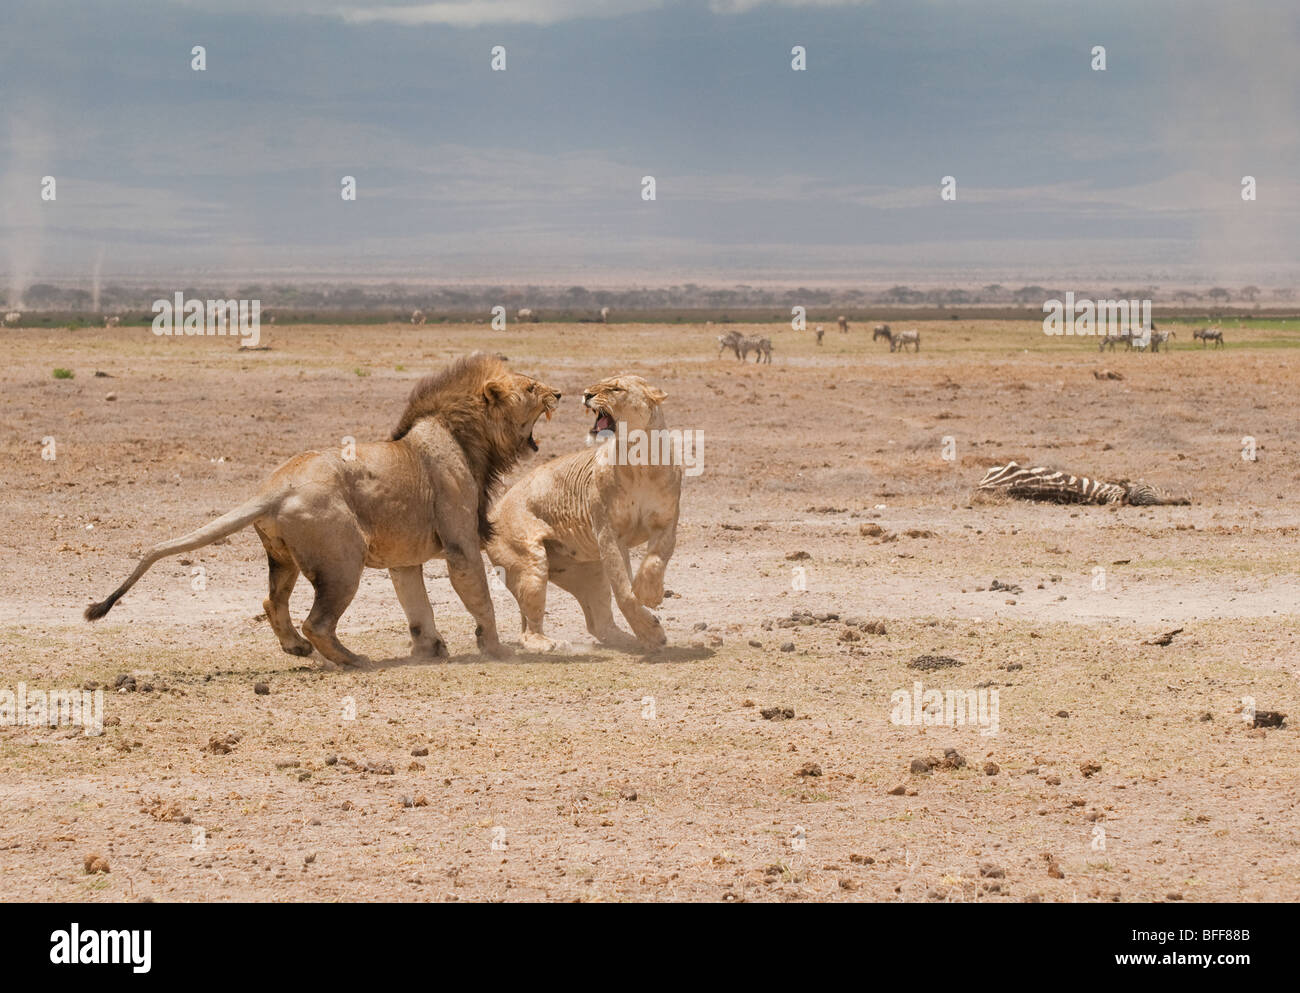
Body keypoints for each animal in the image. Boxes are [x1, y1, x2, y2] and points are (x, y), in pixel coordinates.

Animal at [83, 353, 561, 666]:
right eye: (531, 388)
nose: (558, 392)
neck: (470, 436)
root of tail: (276, 488)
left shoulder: (403, 557)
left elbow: (416, 606)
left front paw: (430, 650)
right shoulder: (461, 544)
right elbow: (480, 598)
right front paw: (497, 649)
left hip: (283, 558)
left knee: (272, 601)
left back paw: (296, 648)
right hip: (342, 560)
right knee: (317, 621)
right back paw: (351, 659)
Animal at [486, 374, 682, 653]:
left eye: (615, 388)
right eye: (601, 383)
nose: (587, 394)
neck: (639, 460)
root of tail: (495, 509)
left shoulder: (666, 523)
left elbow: (654, 562)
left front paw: (649, 594)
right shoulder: (609, 533)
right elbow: (623, 589)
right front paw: (652, 630)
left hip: (589, 574)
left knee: (598, 624)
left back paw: (630, 640)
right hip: (529, 563)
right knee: (527, 631)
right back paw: (550, 644)